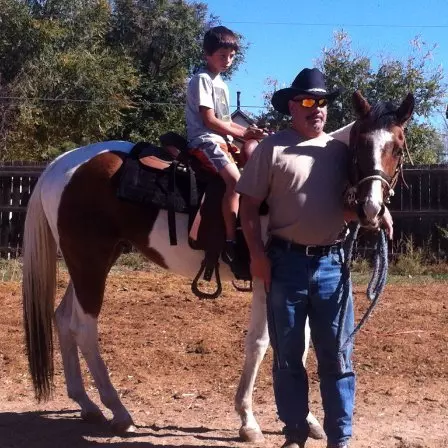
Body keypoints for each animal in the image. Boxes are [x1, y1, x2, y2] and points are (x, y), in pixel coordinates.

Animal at [21, 92, 412, 438]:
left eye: (397, 146)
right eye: (359, 144)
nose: (372, 208)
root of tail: (64, 164)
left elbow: (298, 345)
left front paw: (310, 420)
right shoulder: (267, 280)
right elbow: (261, 343)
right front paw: (248, 420)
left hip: (89, 263)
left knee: (63, 318)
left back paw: (87, 404)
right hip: (89, 261)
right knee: (84, 328)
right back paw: (118, 411)